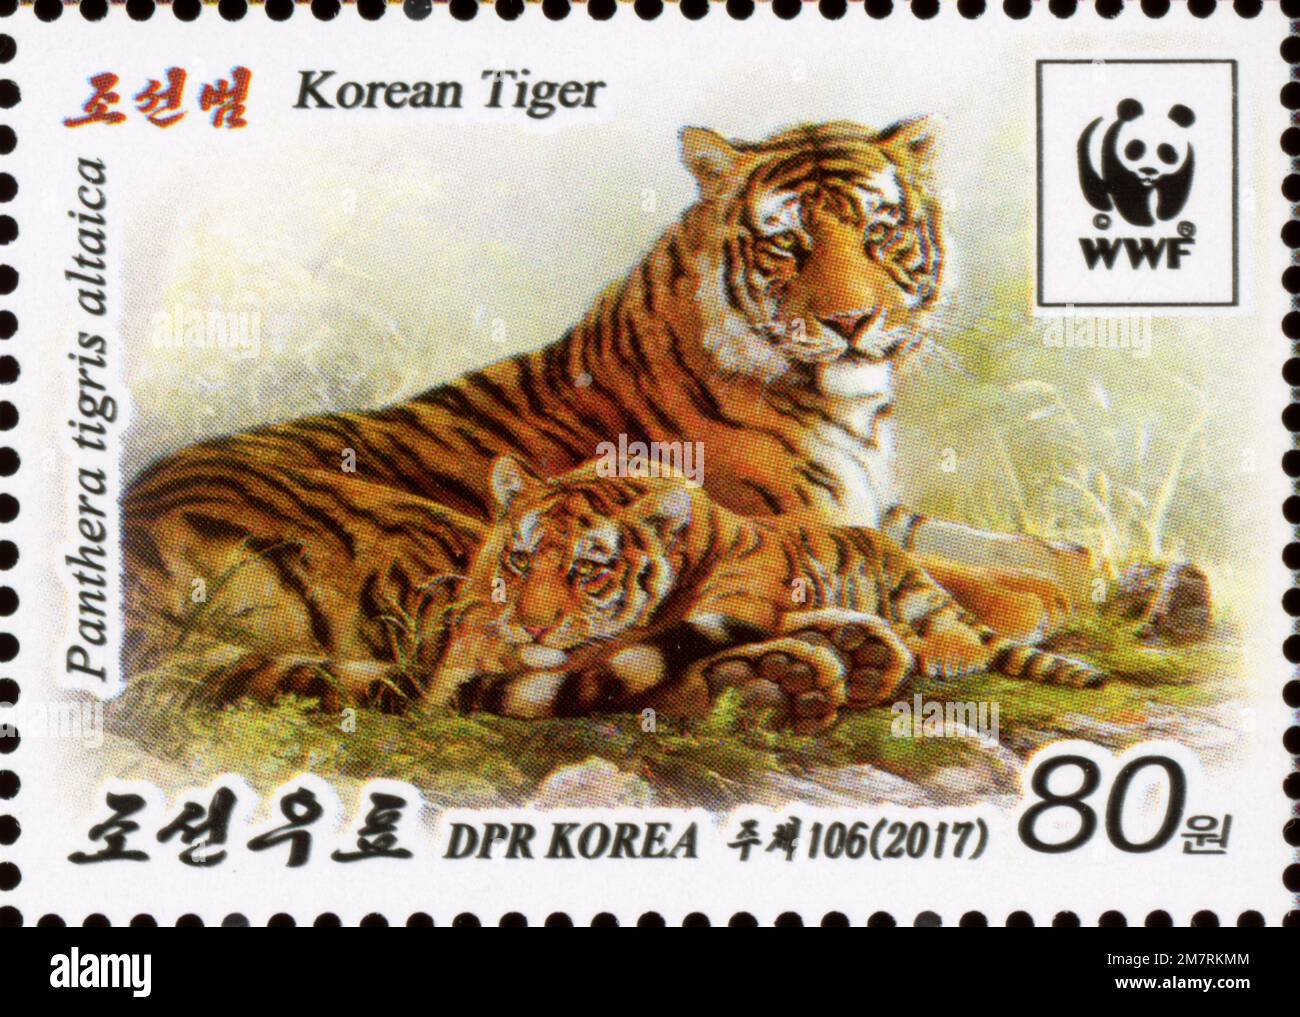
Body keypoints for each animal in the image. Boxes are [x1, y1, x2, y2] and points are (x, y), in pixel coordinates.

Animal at [430, 456, 1104, 732]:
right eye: (520, 560)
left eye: (588, 570)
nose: (533, 626)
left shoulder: (738, 602)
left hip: (911, 584)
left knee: (948, 620)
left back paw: (940, 650)